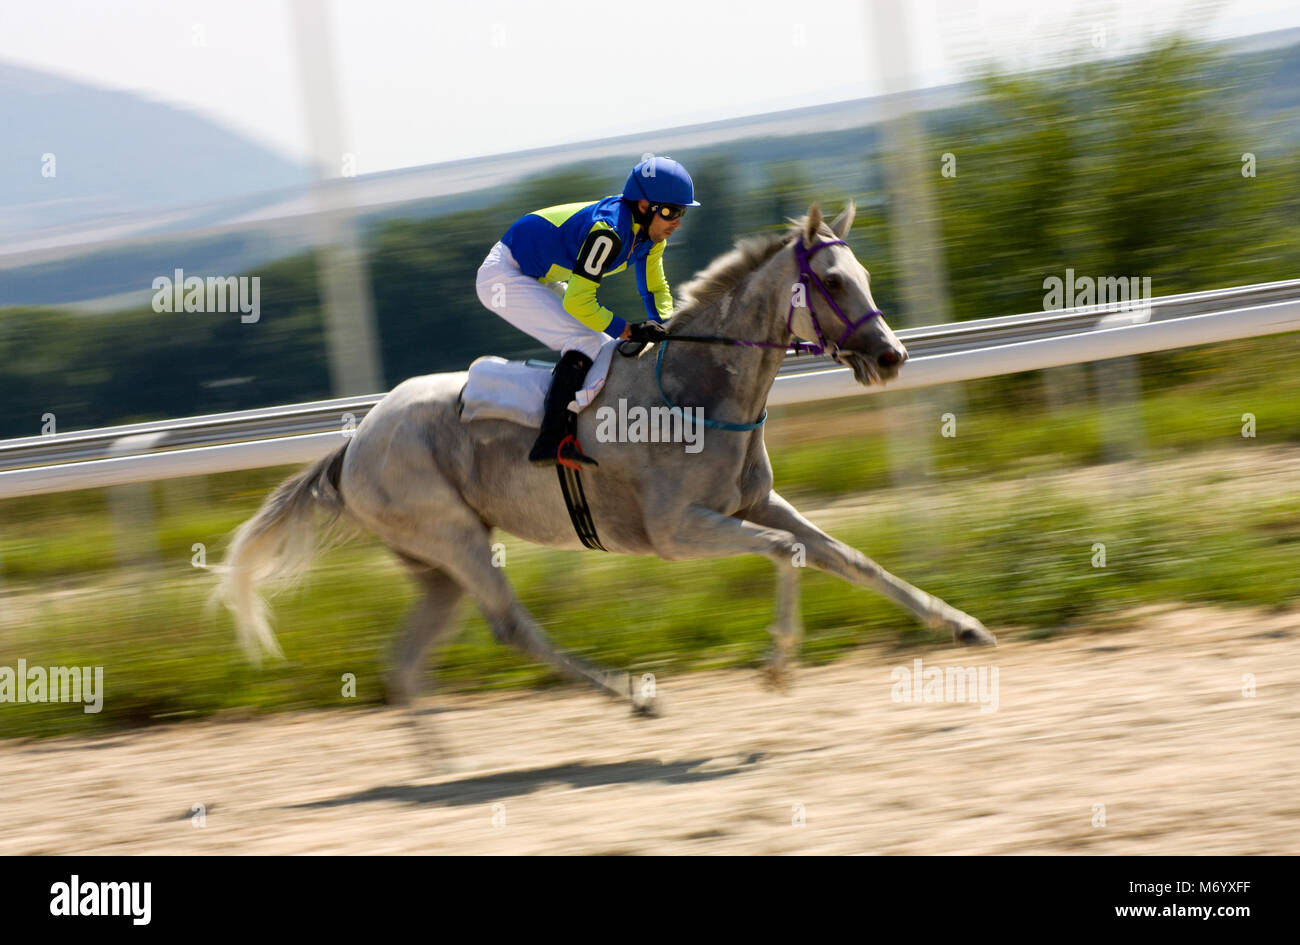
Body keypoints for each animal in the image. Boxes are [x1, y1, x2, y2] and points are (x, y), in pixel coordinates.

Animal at [216, 201, 995, 721]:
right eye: (832, 280)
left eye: (863, 271)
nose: (891, 357)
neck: (696, 389)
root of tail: (354, 441)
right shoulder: (678, 530)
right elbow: (787, 553)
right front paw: (777, 668)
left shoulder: (753, 503)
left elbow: (846, 557)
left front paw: (962, 623)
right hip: (454, 538)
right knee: (511, 628)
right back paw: (632, 697)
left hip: (432, 564)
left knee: (405, 660)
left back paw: (438, 762)